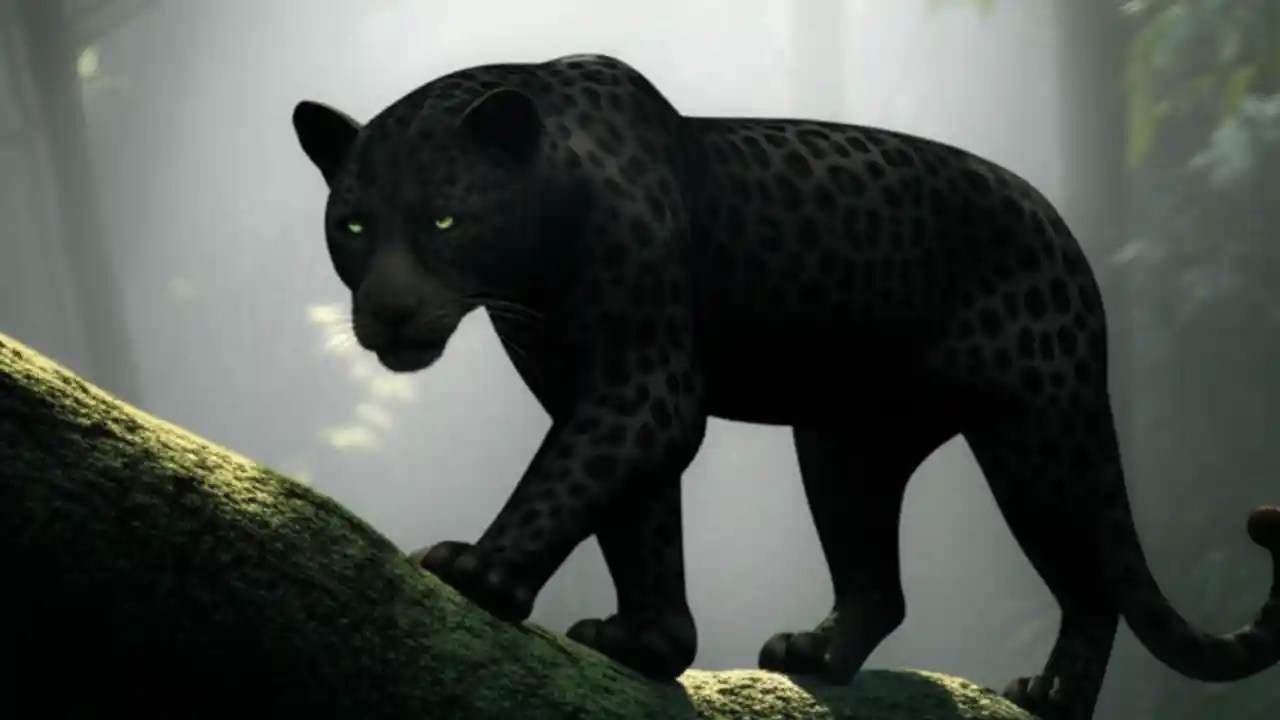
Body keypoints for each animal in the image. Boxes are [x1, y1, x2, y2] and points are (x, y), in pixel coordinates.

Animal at [291, 52, 1280, 719]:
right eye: (353, 224)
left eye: (443, 220)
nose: (387, 312)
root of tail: (1066, 235)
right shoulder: (596, 393)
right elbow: (639, 524)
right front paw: (650, 644)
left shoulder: (641, 388)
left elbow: (561, 485)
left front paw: (480, 570)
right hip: (846, 443)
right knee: (879, 584)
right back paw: (817, 651)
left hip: (1038, 435)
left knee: (1091, 583)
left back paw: (1055, 694)